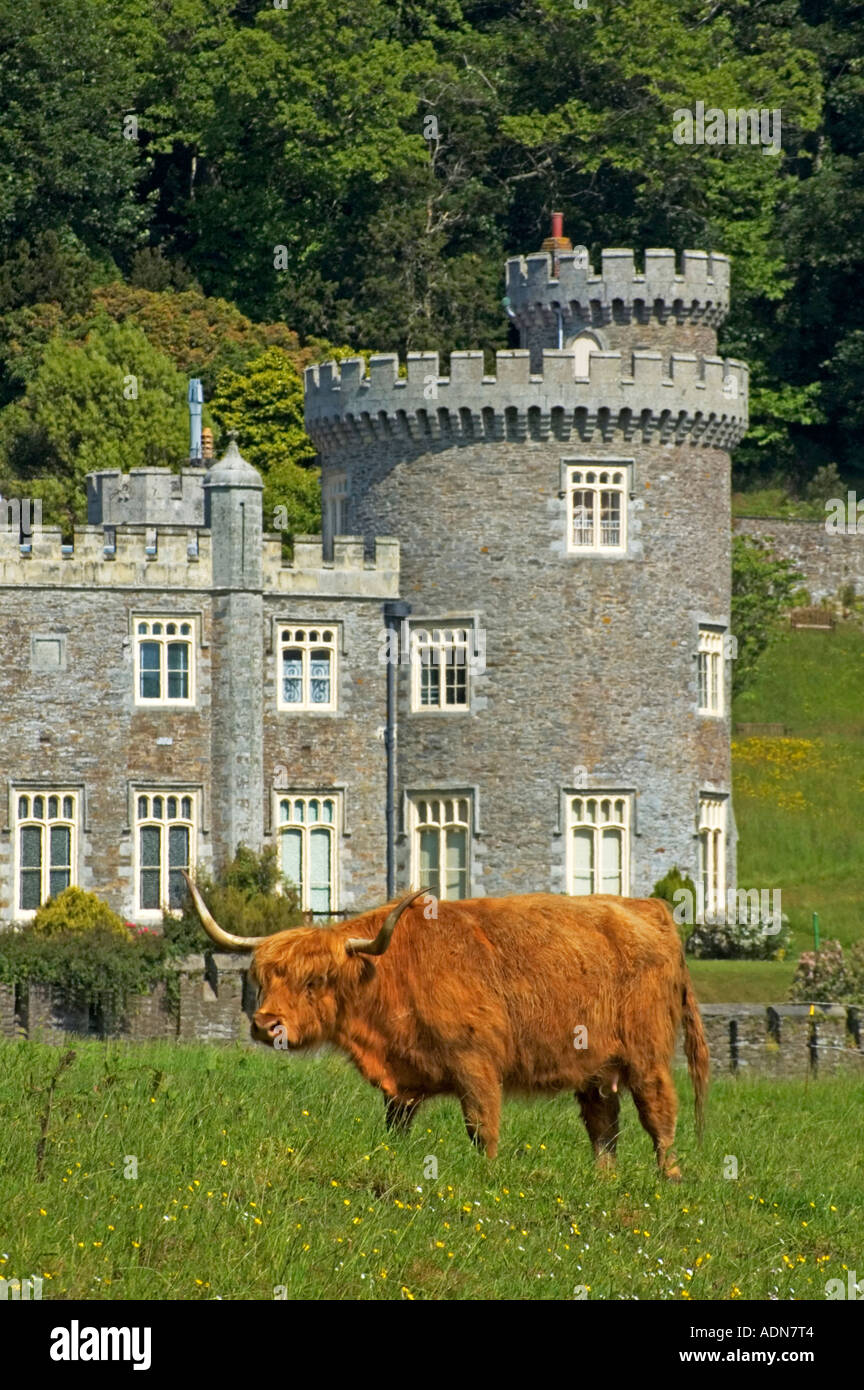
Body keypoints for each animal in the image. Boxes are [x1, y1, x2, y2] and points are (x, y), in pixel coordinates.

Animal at [182, 874, 709, 1176]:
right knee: (604, 1130)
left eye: (314, 981)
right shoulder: (399, 1085)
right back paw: (605, 1182)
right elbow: (395, 1130)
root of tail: (649, 908)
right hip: (597, 1071)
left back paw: (668, 1180)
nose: (265, 1025)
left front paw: (488, 1180)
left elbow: (483, 1130)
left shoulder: (476, 1066)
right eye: (264, 978)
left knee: (660, 1118)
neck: (393, 970)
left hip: (646, 1058)